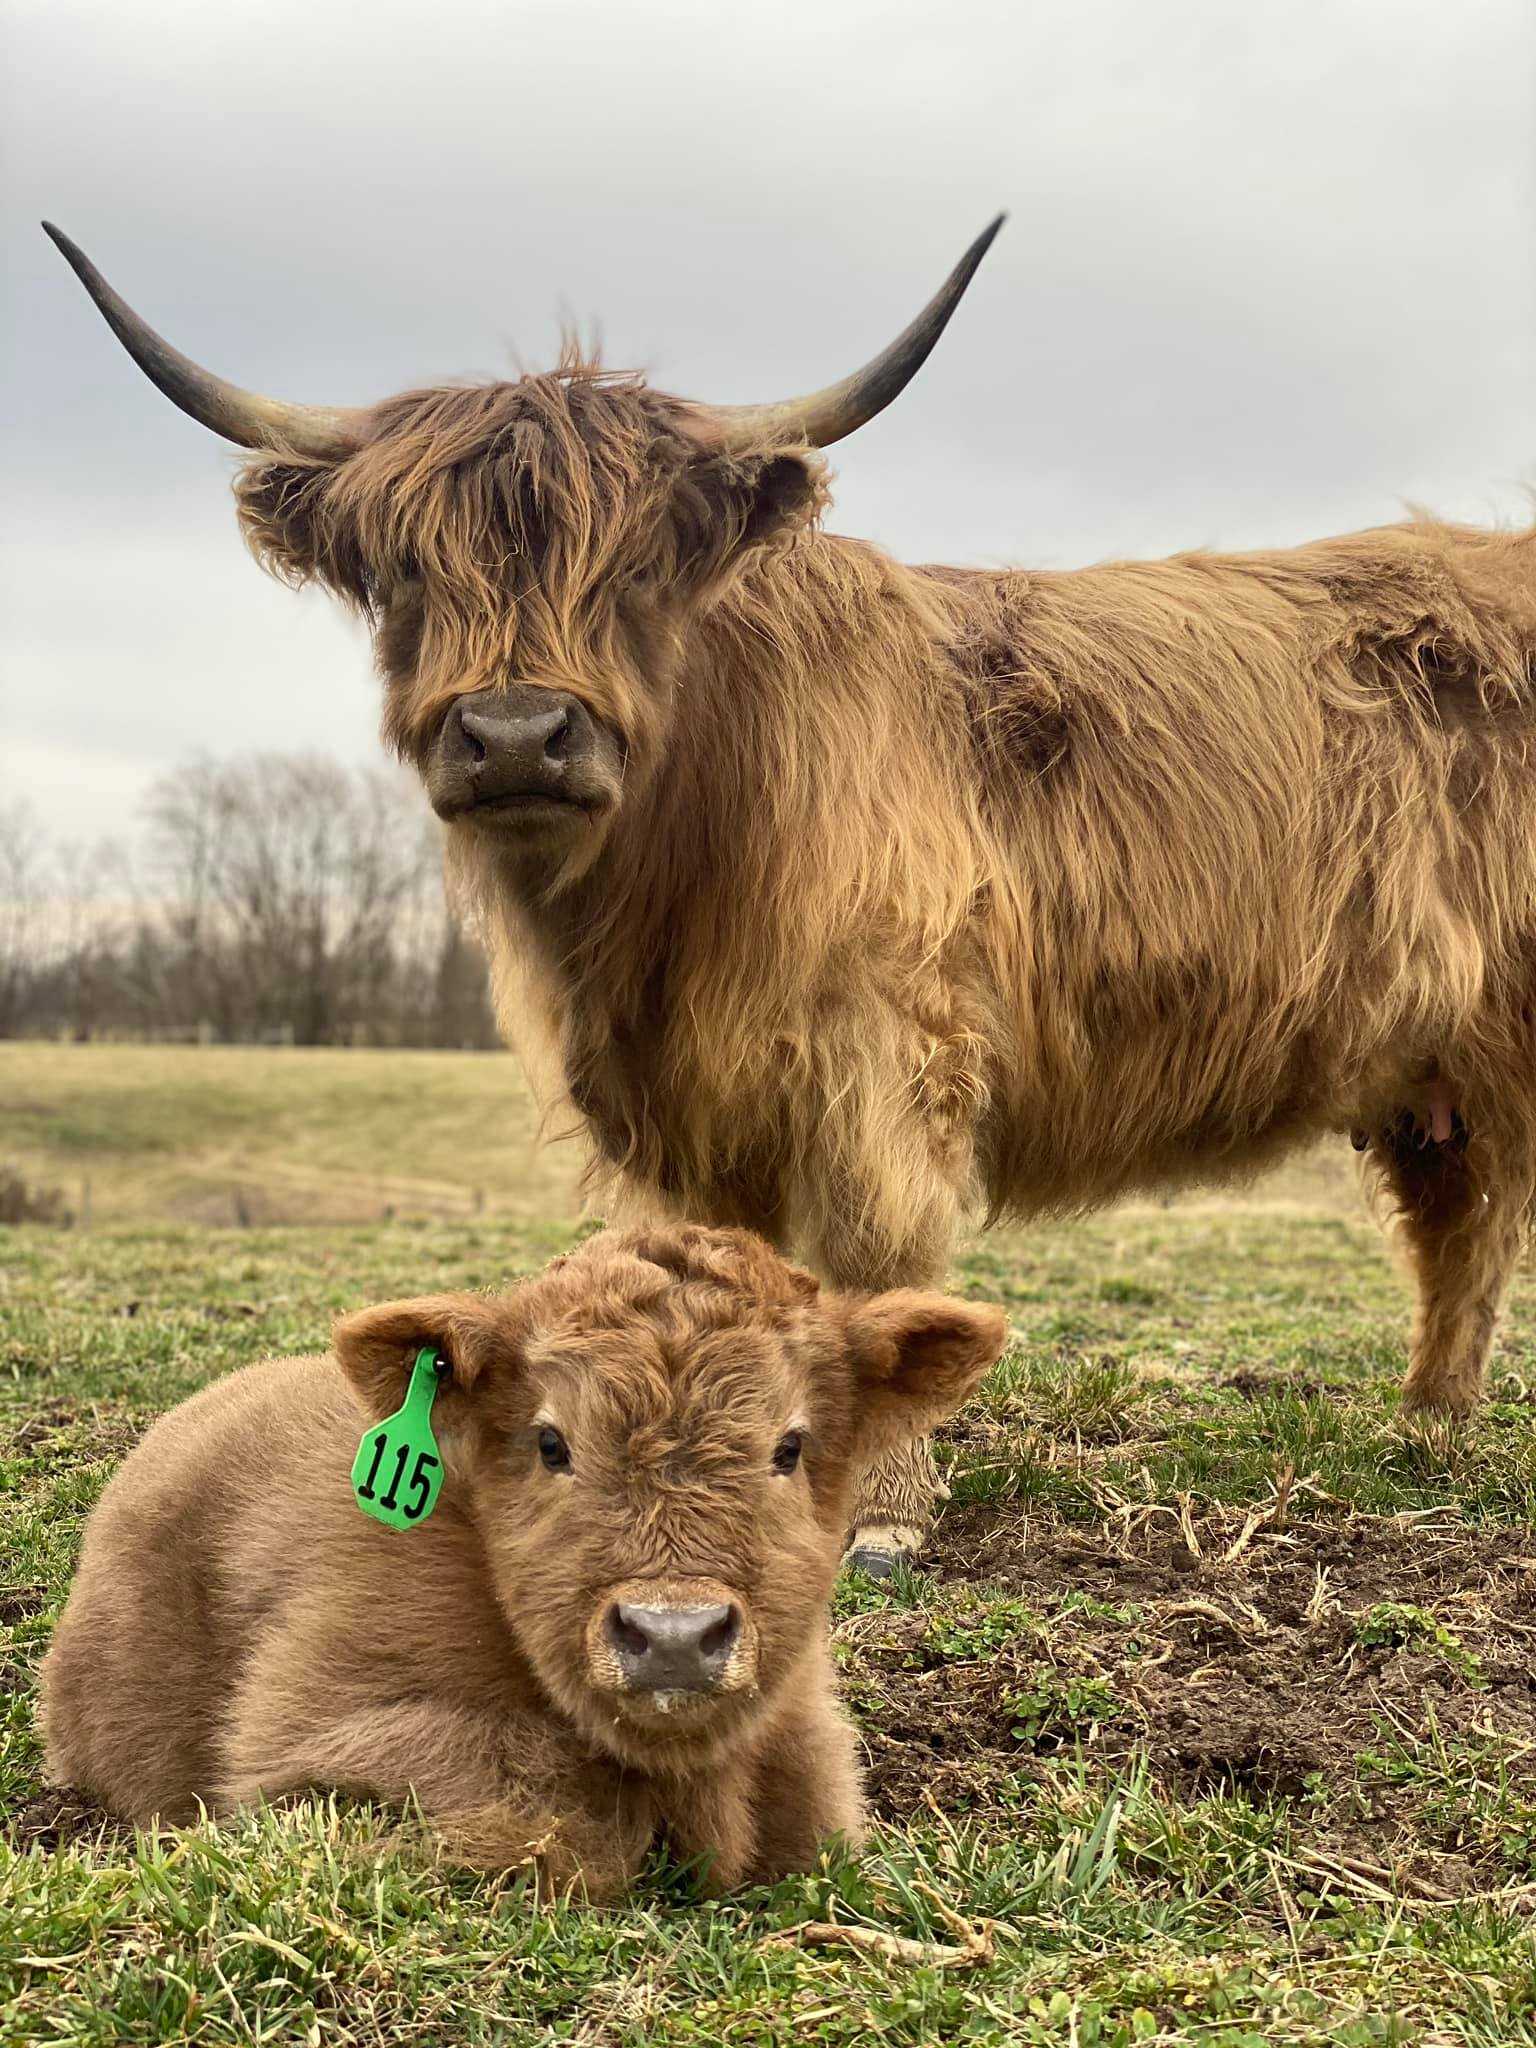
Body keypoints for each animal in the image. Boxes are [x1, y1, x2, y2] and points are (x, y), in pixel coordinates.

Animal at [46, 217, 1536, 1575]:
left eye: (640, 567)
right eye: (407, 570)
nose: (519, 737)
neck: (656, 918)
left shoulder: (888, 1050)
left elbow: (883, 1261)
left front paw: (882, 1517)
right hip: (1432, 1072)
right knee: (1457, 1221)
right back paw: (1426, 1424)